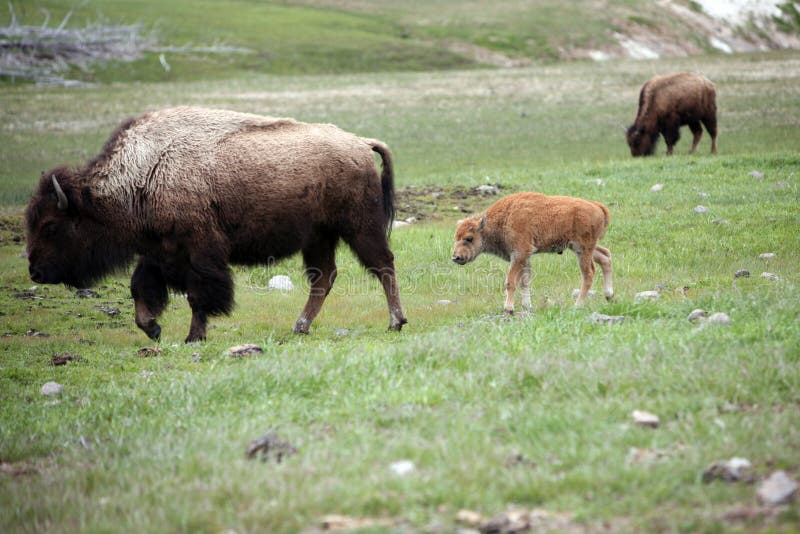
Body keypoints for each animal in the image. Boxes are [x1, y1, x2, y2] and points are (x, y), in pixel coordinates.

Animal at [26, 107, 407, 341]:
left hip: (359, 228)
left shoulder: (199, 252)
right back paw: (300, 327)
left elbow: (199, 295)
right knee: (323, 277)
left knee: (383, 266)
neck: (146, 171)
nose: (35, 272)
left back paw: (396, 322)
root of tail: (361, 143)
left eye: (50, 225)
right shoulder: (157, 252)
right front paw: (153, 329)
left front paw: (193, 336)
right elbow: (141, 287)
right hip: (318, 237)